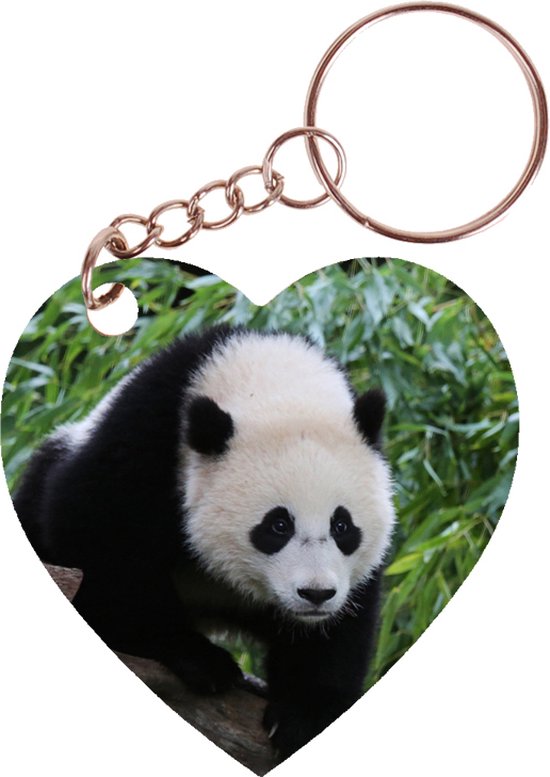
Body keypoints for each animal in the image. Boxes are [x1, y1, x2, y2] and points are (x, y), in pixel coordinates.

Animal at [14, 325, 396, 760]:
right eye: (278, 525)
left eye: (342, 526)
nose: (315, 594)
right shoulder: (145, 436)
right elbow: (101, 542)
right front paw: (198, 658)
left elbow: (343, 626)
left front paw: (303, 714)